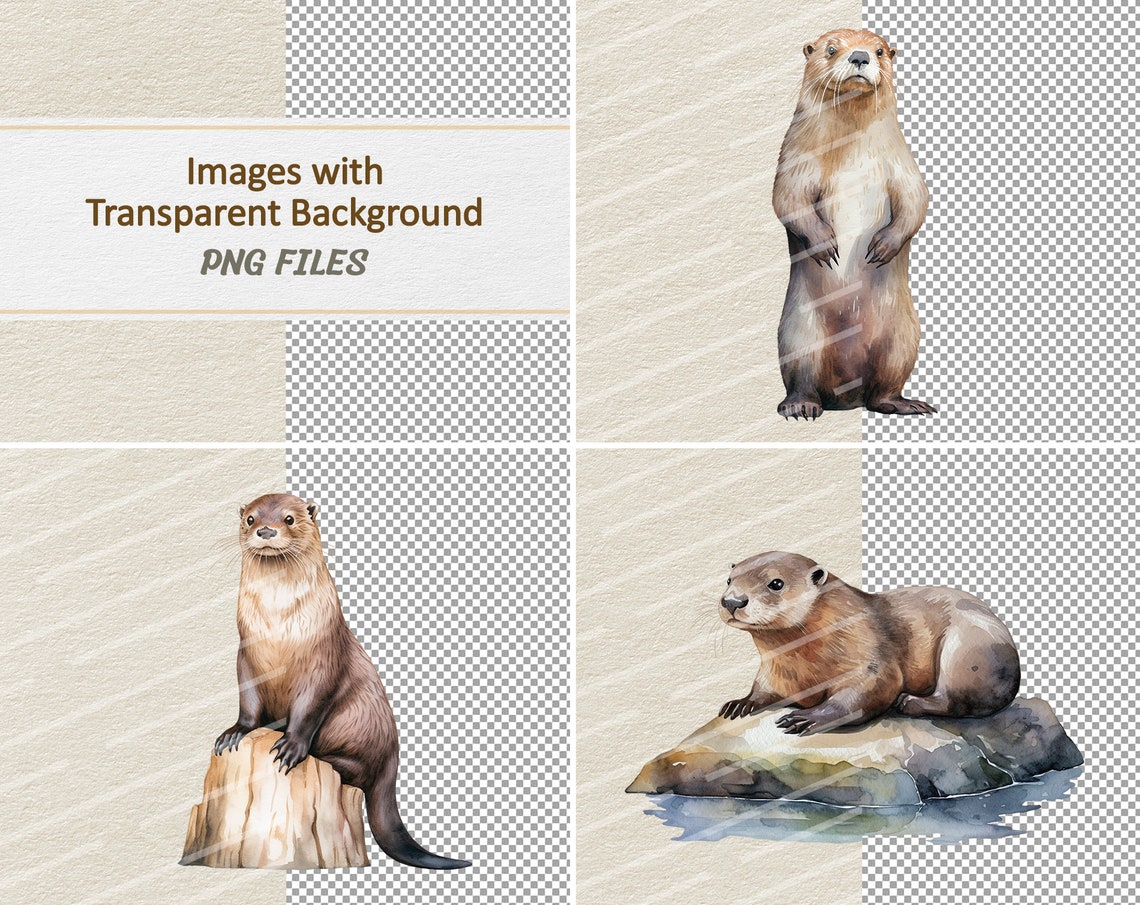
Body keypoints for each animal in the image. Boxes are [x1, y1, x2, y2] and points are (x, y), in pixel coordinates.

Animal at [214, 493, 471, 870]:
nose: (265, 530)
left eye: (289, 519)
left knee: (360, 772)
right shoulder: (246, 654)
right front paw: (236, 732)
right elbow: (248, 700)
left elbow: (309, 708)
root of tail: (392, 761)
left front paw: (291, 748)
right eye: (250, 519)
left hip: (360, 720)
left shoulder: (323, 659)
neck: (278, 625)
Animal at [718, 552, 1020, 734]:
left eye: (776, 583)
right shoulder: (773, 672)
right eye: (729, 580)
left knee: (957, 701)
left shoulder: (869, 653)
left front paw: (809, 717)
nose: (732, 601)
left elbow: (871, 688)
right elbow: (763, 689)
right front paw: (741, 703)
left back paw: (910, 702)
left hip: (966, 648)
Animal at [773, 28, 934, 419]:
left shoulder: (904, 165)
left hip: (903, 337)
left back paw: (904, 403)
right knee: (801, 374)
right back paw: (800, 405)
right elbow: (787, 201)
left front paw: (883, 246)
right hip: (799, 334)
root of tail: (847, 395)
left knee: (885, 386)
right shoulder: (794, 162)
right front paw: (824, 244)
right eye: (831, 49)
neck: (853, 152)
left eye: (880, 51)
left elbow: (916, 202)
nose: (859, 56)